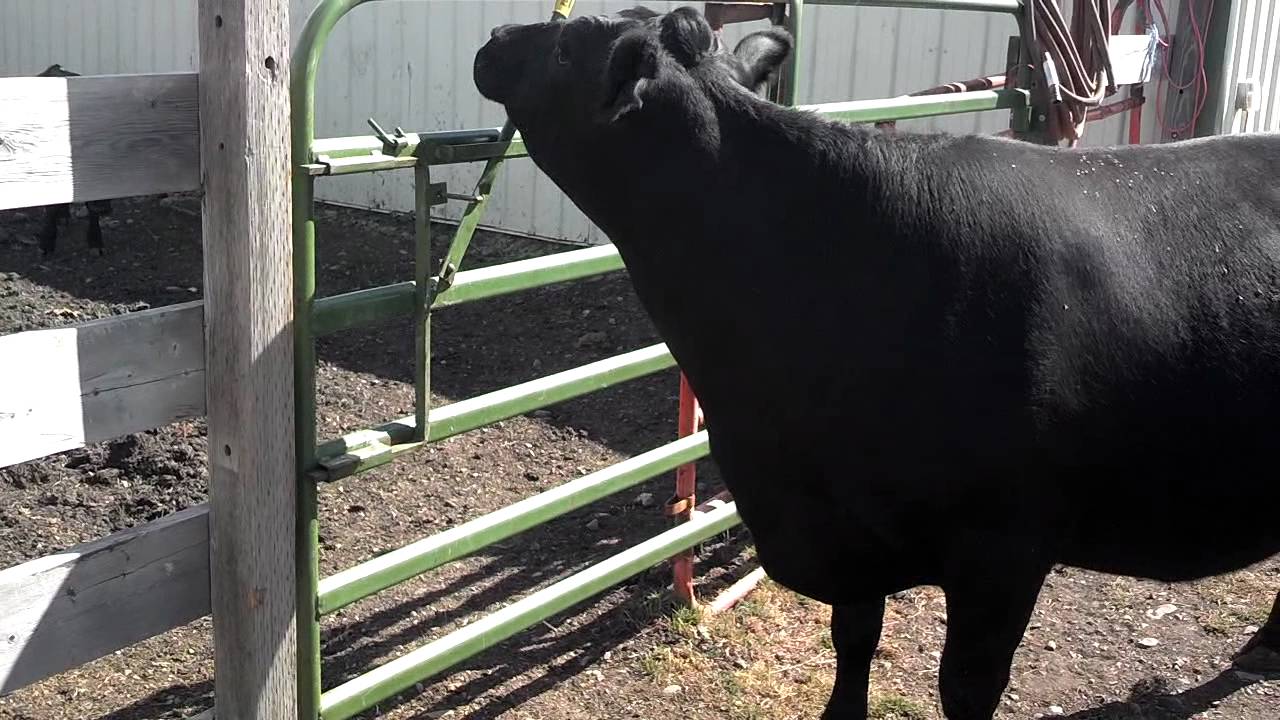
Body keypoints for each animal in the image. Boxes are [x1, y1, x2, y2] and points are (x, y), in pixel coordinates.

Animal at [473, 6, 1280, 719]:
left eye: (568, 43)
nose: (496, 34)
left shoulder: (1004, 551)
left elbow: (965, 689)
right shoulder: (846, 528)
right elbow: (853, 636)